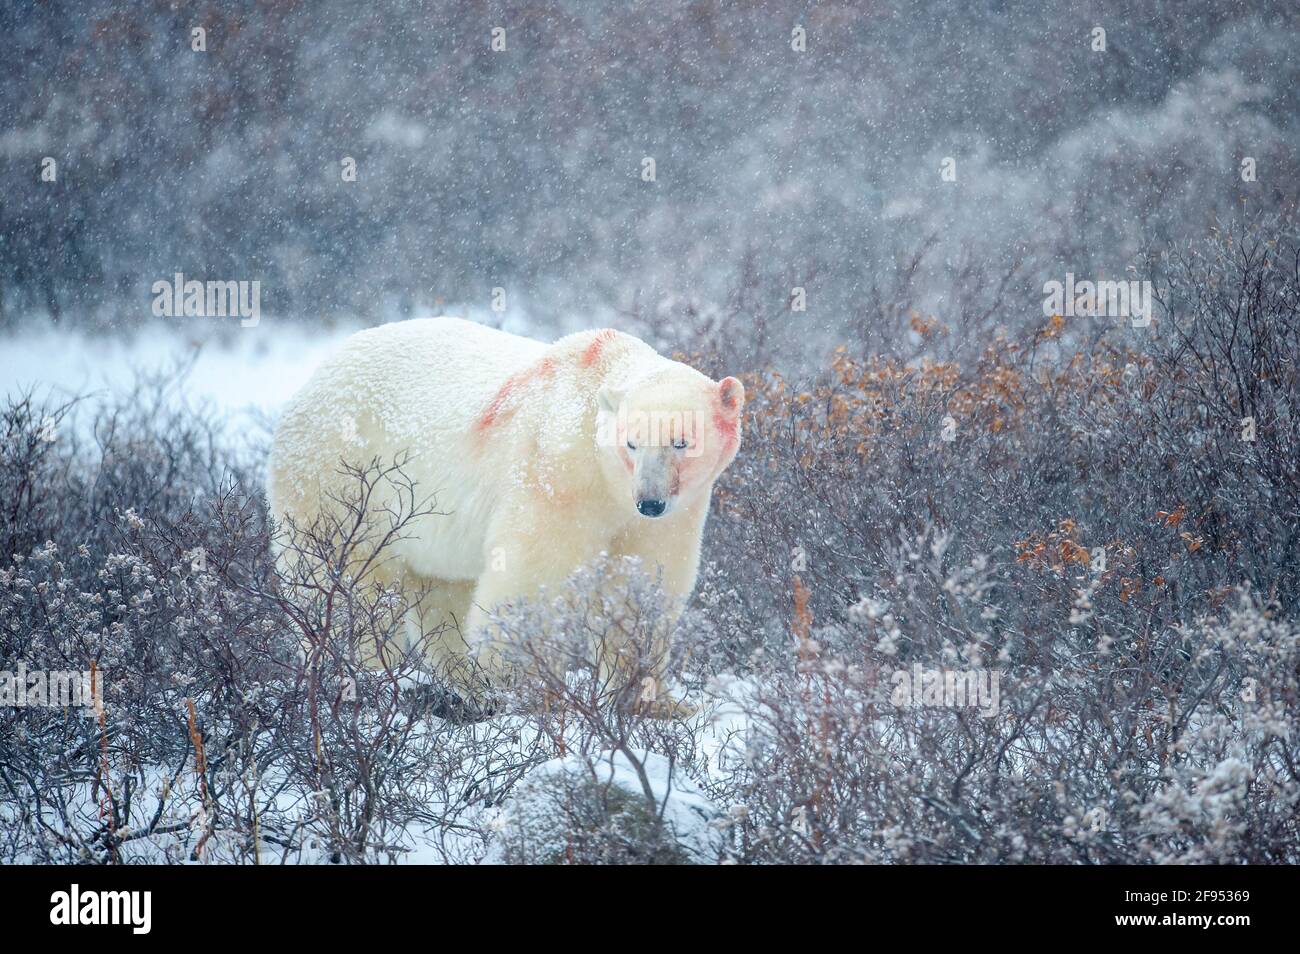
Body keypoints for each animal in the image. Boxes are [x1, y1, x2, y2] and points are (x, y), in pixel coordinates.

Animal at [267, 316, 744, 713]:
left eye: (681, 441)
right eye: (631, 441)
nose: (650, 501)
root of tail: (309, 384)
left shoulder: (677, 510)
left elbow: (643, 582)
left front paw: (656, 702)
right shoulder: (557, 472)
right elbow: (535, 573)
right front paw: (528, 685)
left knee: (444, 593)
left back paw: (466, 683)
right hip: (343, 479)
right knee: (347, 579)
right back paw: (356, 674)